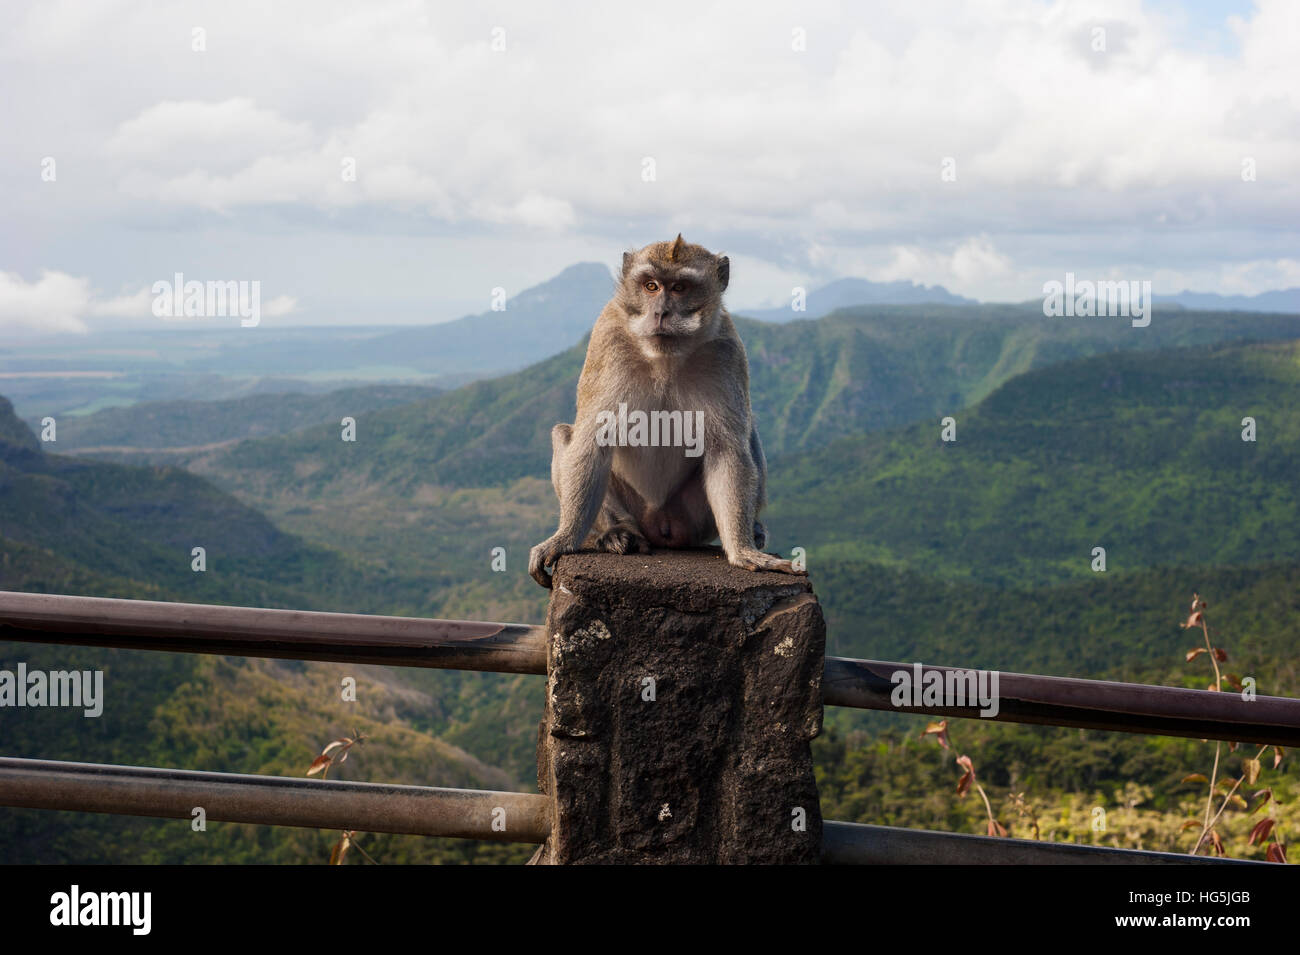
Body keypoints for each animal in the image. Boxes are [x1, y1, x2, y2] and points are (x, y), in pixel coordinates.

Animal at [528, 235, 804, 588]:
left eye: (680, 288)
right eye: (650, 286)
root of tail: (659, 524)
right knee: (565, 434)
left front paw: (743, 551)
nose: (660, 311)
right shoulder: (607, 340)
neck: (665, 357)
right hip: (636, 509)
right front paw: (563, 540)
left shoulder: (725, 350)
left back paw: (753, 529)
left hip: (691, 518)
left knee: (748, 433)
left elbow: (727, 449)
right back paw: (616, 532)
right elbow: (592, 440)